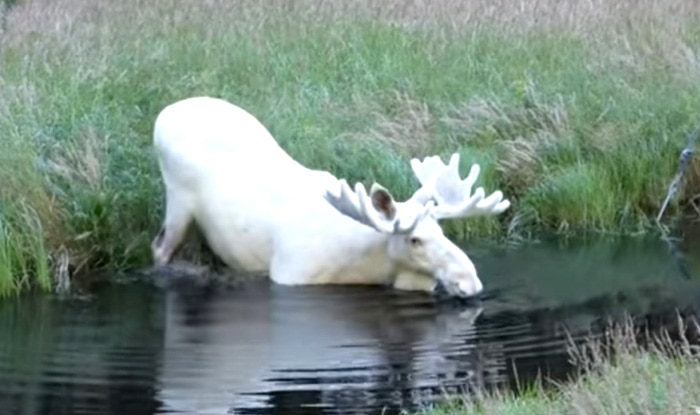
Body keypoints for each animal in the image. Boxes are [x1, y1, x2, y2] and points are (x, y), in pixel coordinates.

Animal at [151, 96, 511, 299]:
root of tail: (163, 114)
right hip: (178, 200)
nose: (470, 281)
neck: (367, 265)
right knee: (159, 248)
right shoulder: (289, 275)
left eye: (441, 231)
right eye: (415, 240)